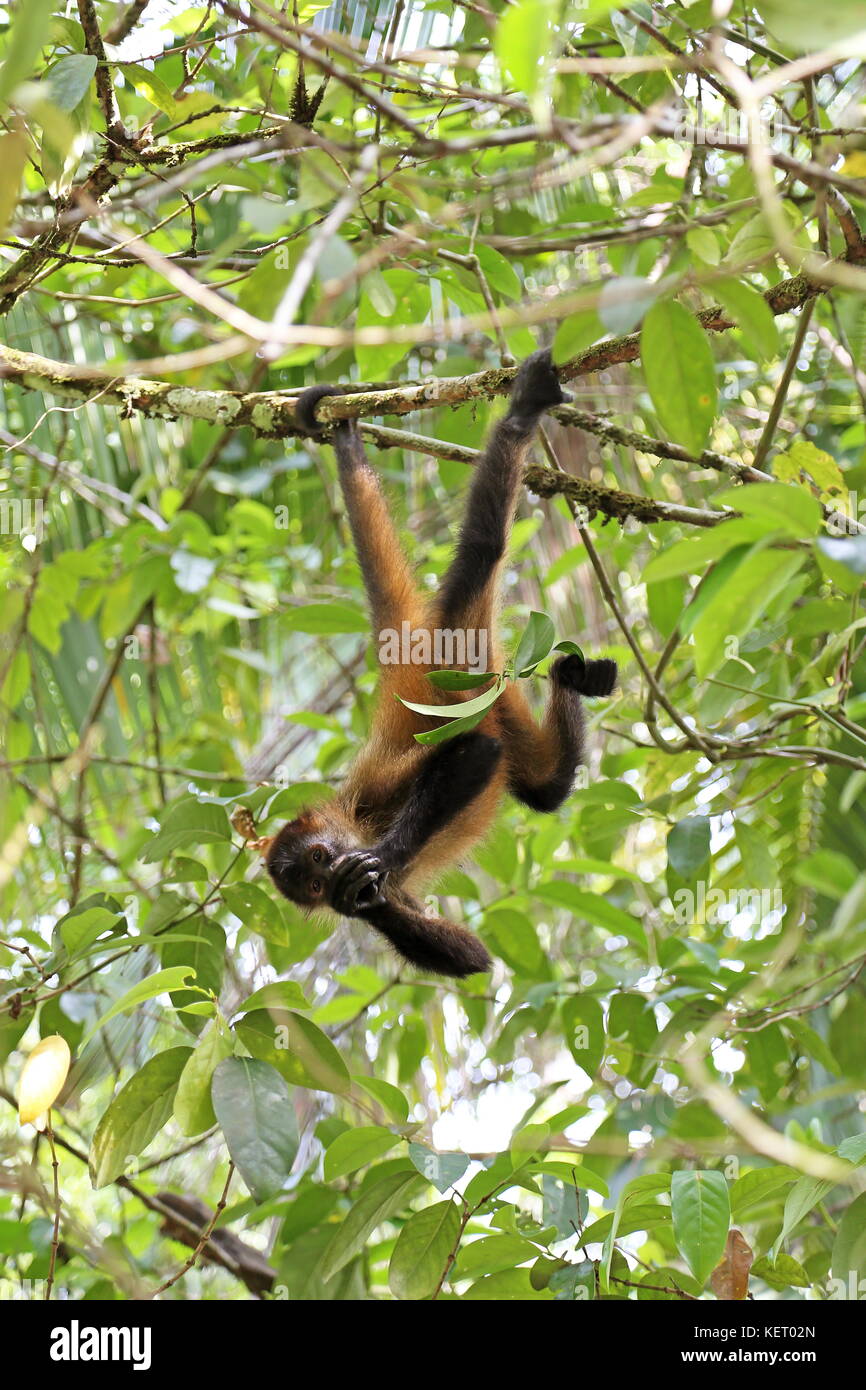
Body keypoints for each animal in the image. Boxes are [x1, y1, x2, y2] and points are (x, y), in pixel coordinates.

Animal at [261, 349, 618, 979]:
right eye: (311, 883)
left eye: (322, 857)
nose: (332, 877)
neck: (353, 819)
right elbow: (472, 957)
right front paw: (356, 902)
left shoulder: (374, 795)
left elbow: (475, 752)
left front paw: (383, 855)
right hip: (491, 690)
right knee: (543, 788)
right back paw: (569, 678)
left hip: (460, 643)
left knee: (483, 550)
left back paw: (522, 414)